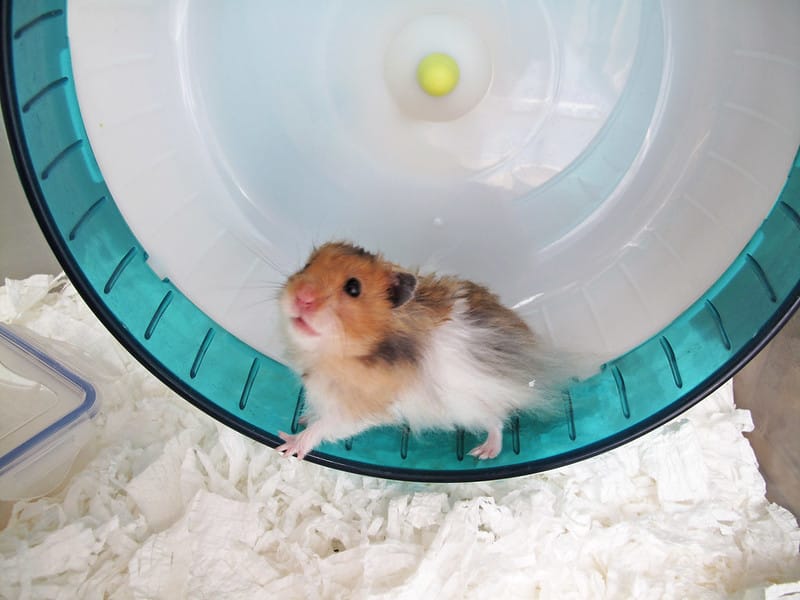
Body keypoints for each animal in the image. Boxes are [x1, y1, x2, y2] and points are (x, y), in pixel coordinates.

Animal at [276, 241, 564, 460]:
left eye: (353, 288)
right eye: (307, 266)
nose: (302, 297)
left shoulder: (361, 408)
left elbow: (325, 427)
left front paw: (286, 444)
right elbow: (316, 414)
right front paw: (302, 418)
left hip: (474, 404)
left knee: (498, 421)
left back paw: (483, 453)